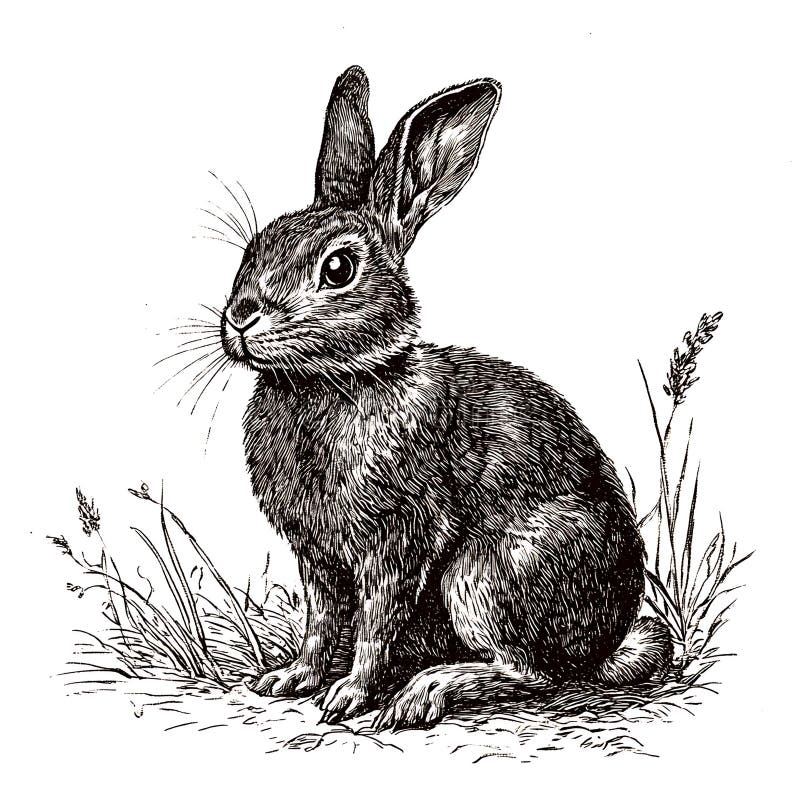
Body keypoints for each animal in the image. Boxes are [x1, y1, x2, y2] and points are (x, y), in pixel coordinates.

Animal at [218, 65, 671, 730]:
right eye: (255, 246)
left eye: (339, 269)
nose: (241, 317)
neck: (334, 380)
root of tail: (604, 646)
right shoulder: (317, 560)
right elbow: (320, 623)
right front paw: (290, 679)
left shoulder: (397, 544)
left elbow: (375, 626)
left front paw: (348, 697)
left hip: (484, 578)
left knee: (532, 674)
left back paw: (423, 693)